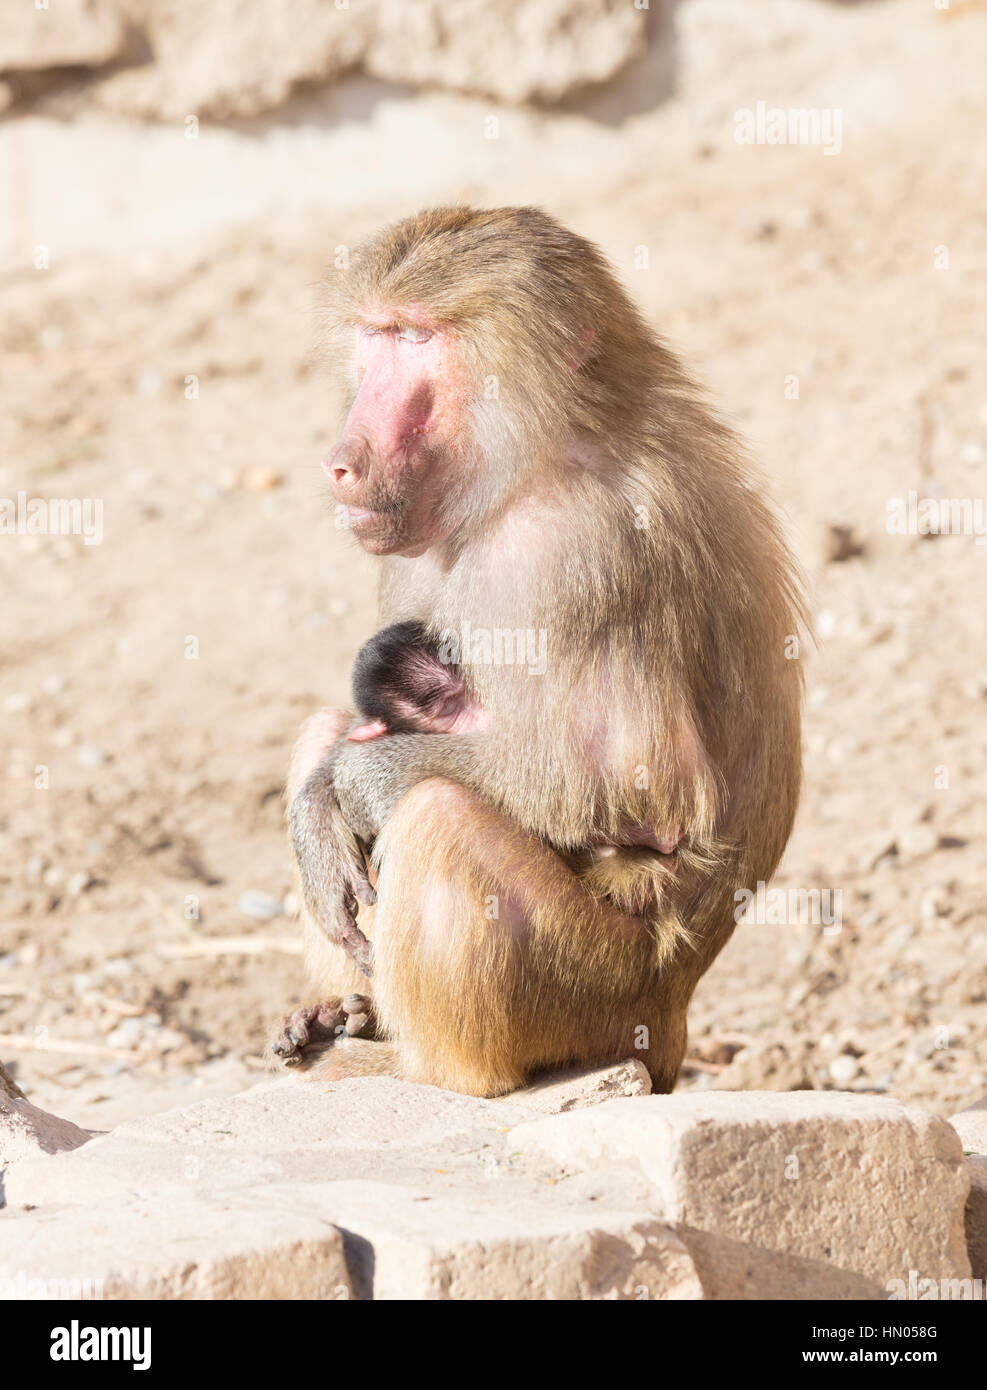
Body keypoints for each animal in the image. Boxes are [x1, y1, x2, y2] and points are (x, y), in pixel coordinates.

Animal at [272, 205, 806, 1097]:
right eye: (374, 337)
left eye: (418, 338)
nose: (341, 463)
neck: (534, 456)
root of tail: (670, 1021)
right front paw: (319, 810)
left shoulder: (575, 548)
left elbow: (640, 792)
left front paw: (355, 783)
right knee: (330, 727)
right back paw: (341, 1014)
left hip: (590, 987)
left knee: (441, 818)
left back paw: (416, 1068)